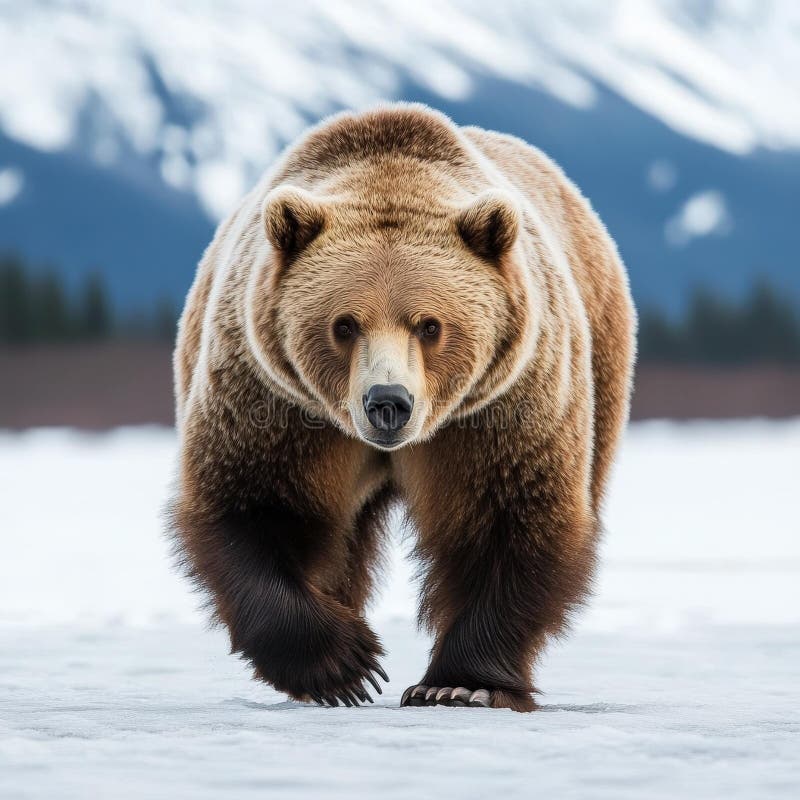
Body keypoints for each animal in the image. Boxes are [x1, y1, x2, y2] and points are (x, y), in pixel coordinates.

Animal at [170, 103, 636, 712]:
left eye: (430, 325)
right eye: (344, 324)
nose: (387, 402)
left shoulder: (494, 412)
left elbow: (509, 518)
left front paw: (458, 683)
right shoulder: (276, 402)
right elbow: (255, 506)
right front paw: (346, 666)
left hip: (600, 356)